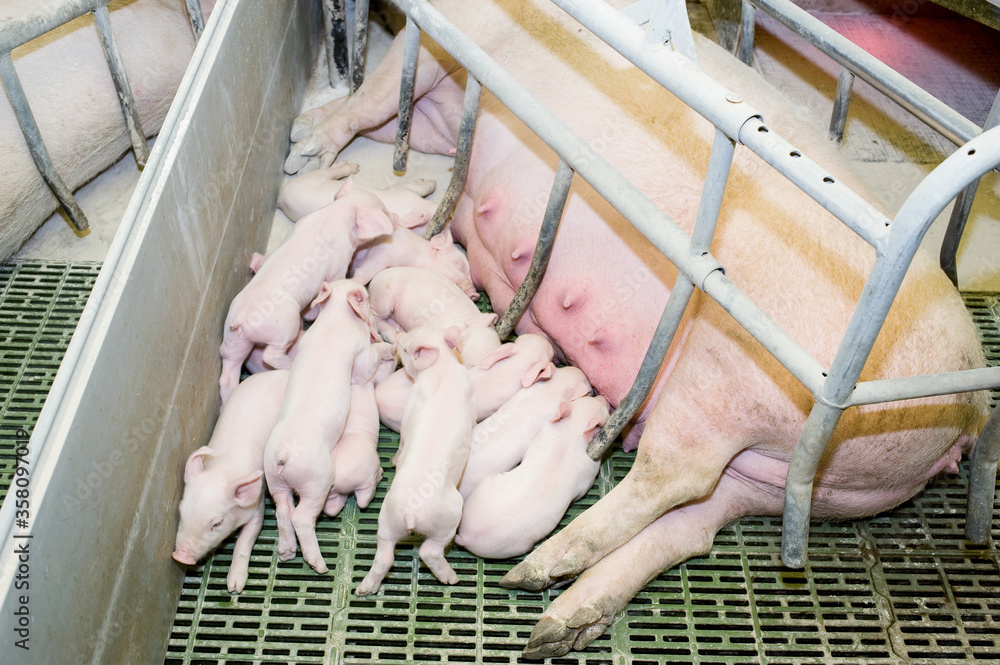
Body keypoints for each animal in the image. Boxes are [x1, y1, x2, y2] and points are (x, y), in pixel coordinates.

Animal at [172, 369, 288, 593]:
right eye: (181, 510)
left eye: (217, 523)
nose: (180, 556)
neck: (221, 470)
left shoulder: (257, 507)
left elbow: (244, 540)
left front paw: (235, 587)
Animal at [219, 191, 393, 403]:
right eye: (381, 209)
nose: (394, 217)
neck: (337, 213)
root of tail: (241, 320)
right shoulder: (339, 261)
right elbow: (336, 280)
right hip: (286, 326)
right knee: (269, 355)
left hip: (234, 341)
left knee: (228, 371)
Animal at [263, 279, 391, 574]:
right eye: (364, 296)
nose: (367, 289)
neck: (335, 317)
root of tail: (283, 455)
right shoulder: (359, 356)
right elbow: (365, 367)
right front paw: (388, 349)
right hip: (317, 481)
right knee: (300, 517)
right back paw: (319, 565)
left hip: (274, 480)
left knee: (282, 509)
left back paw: (286, 553)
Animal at [355, 325, 476, 596]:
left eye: (405, 348)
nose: (398, 336)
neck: (441, 366)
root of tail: (412, 512)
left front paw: (394, 461)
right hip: (448, 519)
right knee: (428, 551)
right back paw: (452, 580)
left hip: (387, 519)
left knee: (384, 556)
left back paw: (363, 590)